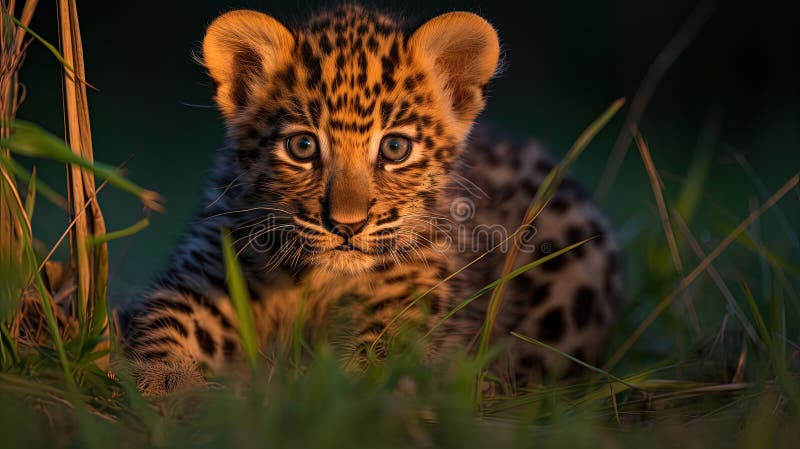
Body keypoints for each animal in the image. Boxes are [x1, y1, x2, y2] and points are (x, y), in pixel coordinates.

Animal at [121, 3, 623, 395]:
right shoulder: (214, 261)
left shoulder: (415, 290)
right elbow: (171, 315)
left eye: (395, 148)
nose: (346, 225)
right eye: (302, 147)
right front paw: (162, 380)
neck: (317, 282)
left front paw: (331, 389)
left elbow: (382, 353)